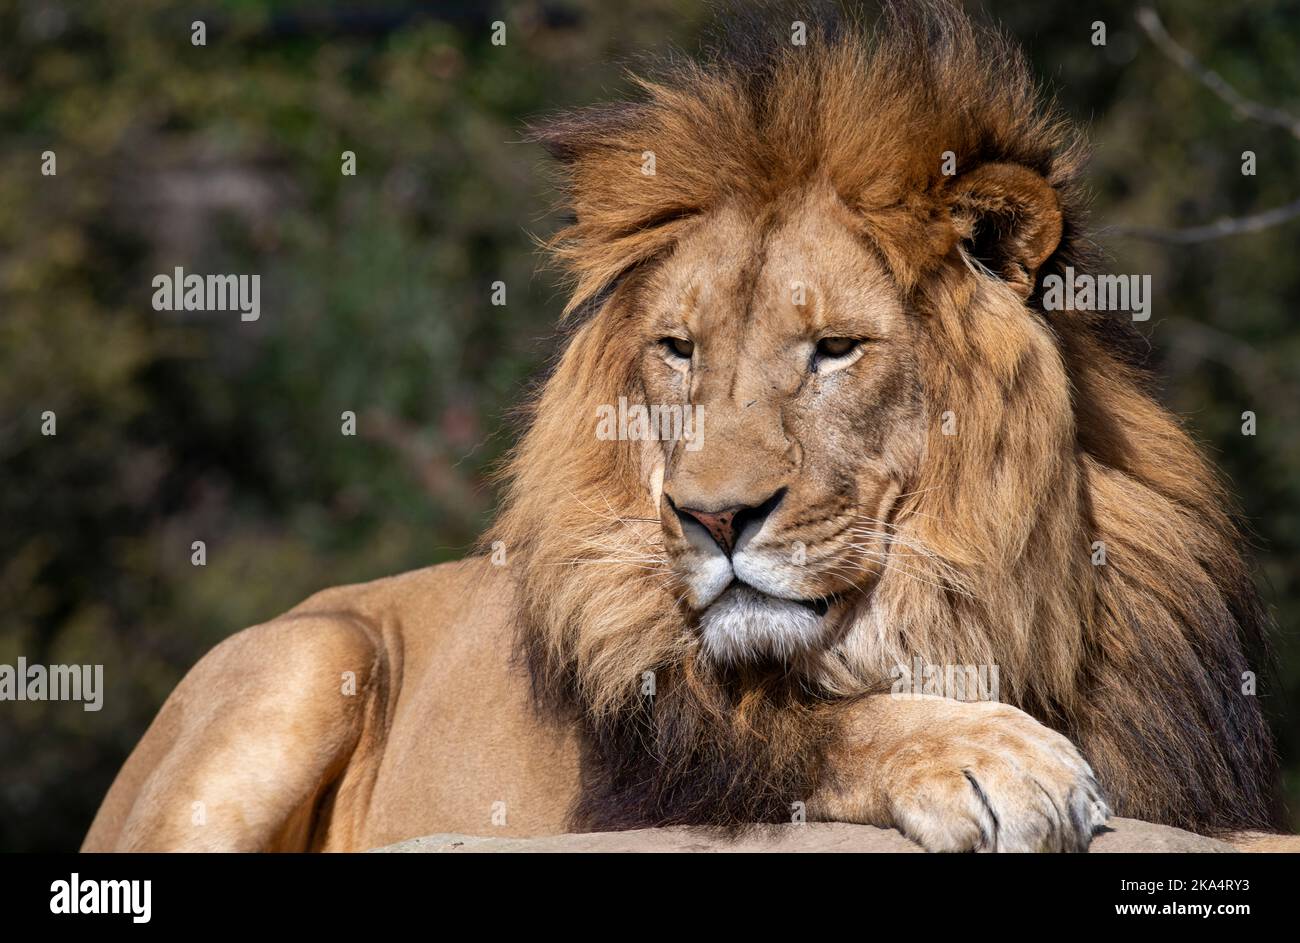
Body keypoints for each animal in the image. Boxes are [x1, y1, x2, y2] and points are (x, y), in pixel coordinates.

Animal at [83, 2, 1290, 853]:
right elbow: (820, 726)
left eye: (834, 348)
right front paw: (991, 757)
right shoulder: (659, 778)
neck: (973, 595)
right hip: (303, 657)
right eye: (678, 348)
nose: (712, 518)